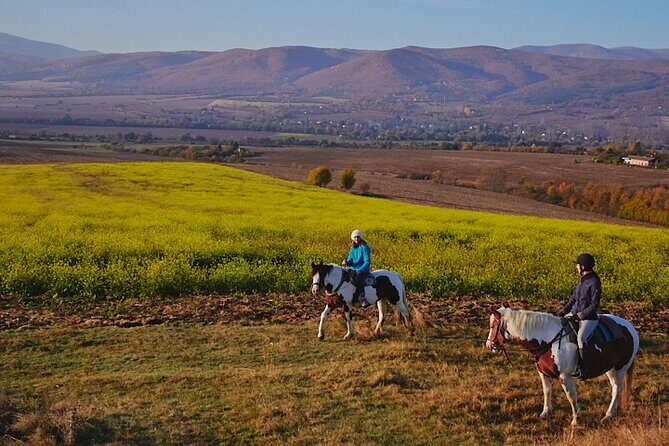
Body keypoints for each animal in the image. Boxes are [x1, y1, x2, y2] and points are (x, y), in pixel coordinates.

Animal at [485, 307, 639, 426]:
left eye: (493, 326)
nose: (489, 345)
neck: (549, 341)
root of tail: (631, 328)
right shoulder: (543, 374)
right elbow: (547, 391)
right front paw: (545, 412)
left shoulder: (565, 377)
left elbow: (571, 397)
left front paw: (576, 420)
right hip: (610, 369)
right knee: (616, 389)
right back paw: (612, 413)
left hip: (620, 368)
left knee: (617, 389)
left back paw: (608, 415)